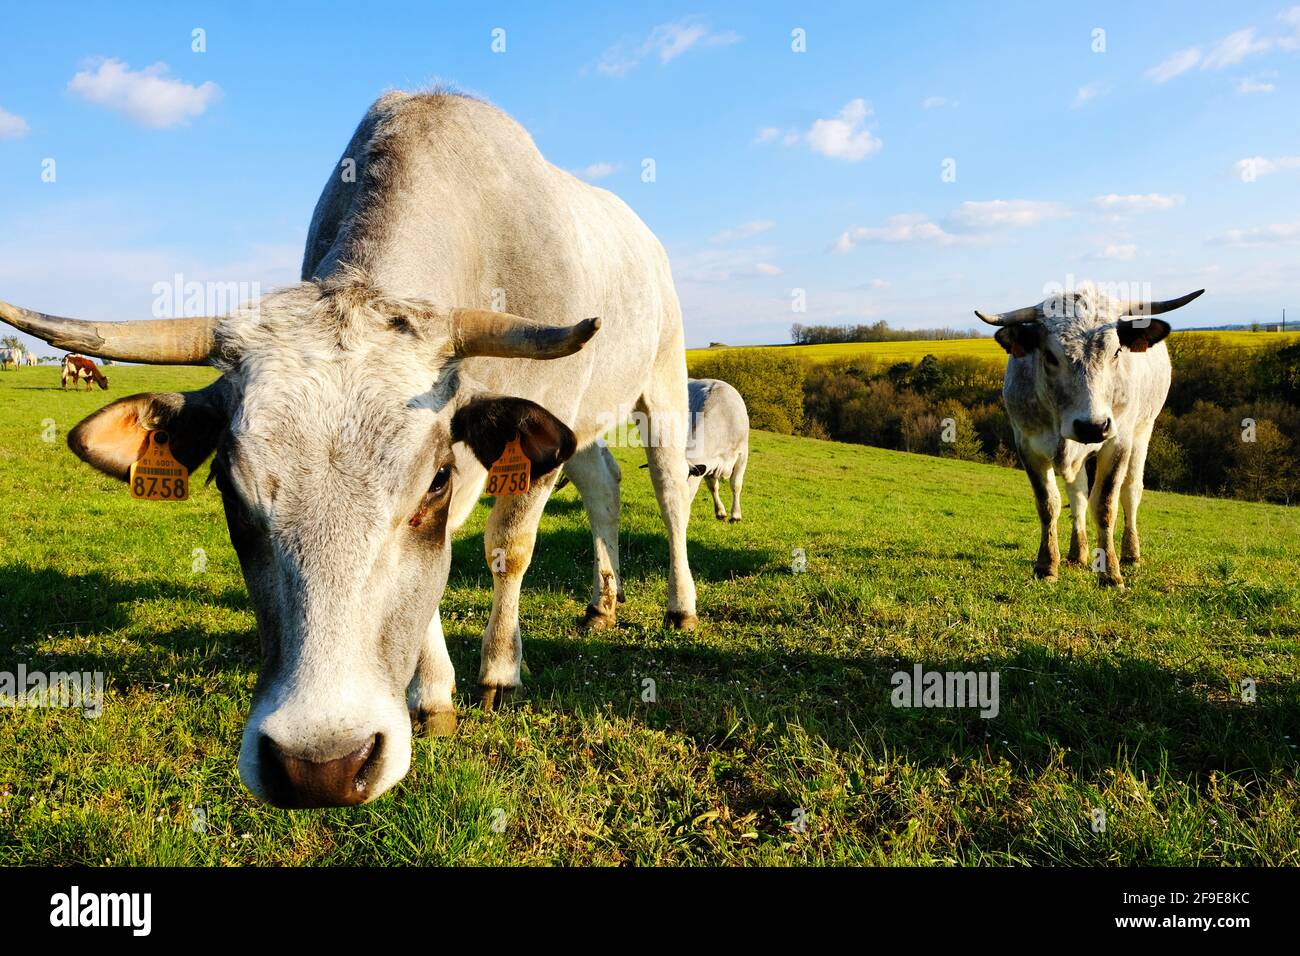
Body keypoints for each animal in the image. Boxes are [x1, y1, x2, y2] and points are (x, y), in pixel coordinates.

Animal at [0, 89, 699, 808]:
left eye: (433, 482)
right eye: (229, 490)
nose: (320, 765)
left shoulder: (527, 443)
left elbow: (508, 550)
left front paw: (500, 673)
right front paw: (434, 694)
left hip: (663, 380)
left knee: (670, 490)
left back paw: (679, 606)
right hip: (583, 427)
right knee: (604, 486)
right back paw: (601, 603)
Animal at [684, 378, 749, 523]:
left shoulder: (742, 454)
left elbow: (736, 484)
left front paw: (736, 515)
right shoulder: (708, 462)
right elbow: (713, 487)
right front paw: (720, 511)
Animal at [976, 282, 1204, 588]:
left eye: (1116, 352)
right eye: (1050, 356)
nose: (1092, 426)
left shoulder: (1118, 441)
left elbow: (1105, 504)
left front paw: (1111, 572)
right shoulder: (1027, 444)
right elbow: (1049, 504)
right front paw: (1047, 565)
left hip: (1143, 431)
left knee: (1131, 491)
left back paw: (1131, 553)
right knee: (1079, 494)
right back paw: (1077, 552)